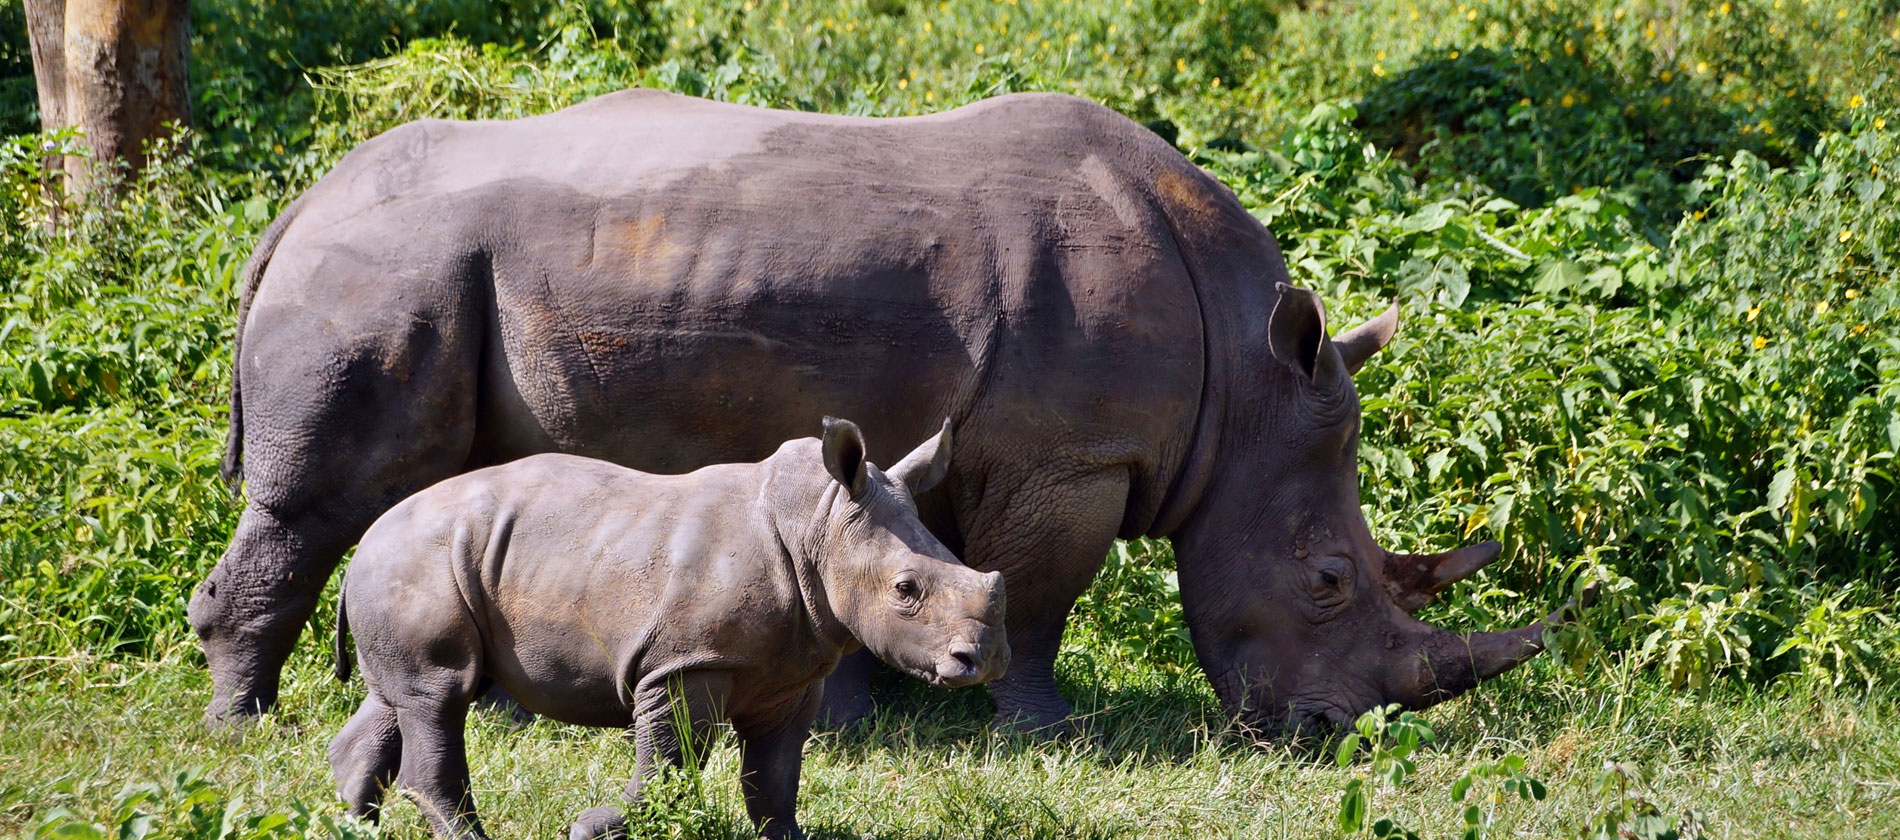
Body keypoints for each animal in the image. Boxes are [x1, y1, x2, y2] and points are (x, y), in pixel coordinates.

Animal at [194, 89, 1565, 735]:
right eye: (1327, 581)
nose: (1331, 735)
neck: (1241, 384)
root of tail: (296, 210)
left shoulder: (981, 445)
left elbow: (926, 571)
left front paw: (882, 707)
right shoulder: (1071, 456)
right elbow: (1037, 591)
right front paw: (1043, 731)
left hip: (417, 269)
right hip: (387, 274)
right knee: (326, 501)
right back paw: (245, 723)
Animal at [329, 418, 1007, 840]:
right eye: (906, 590)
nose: (985, 660)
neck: (819, 523)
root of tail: (364, 542)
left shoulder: (790, 675)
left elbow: (774, 778)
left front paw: (789, 836)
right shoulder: (686, 662)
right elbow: (673, 759)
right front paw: (593, 828)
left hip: (418, 565)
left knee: (400, 699)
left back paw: (347, 826)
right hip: (418, 561)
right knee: (440, 694)